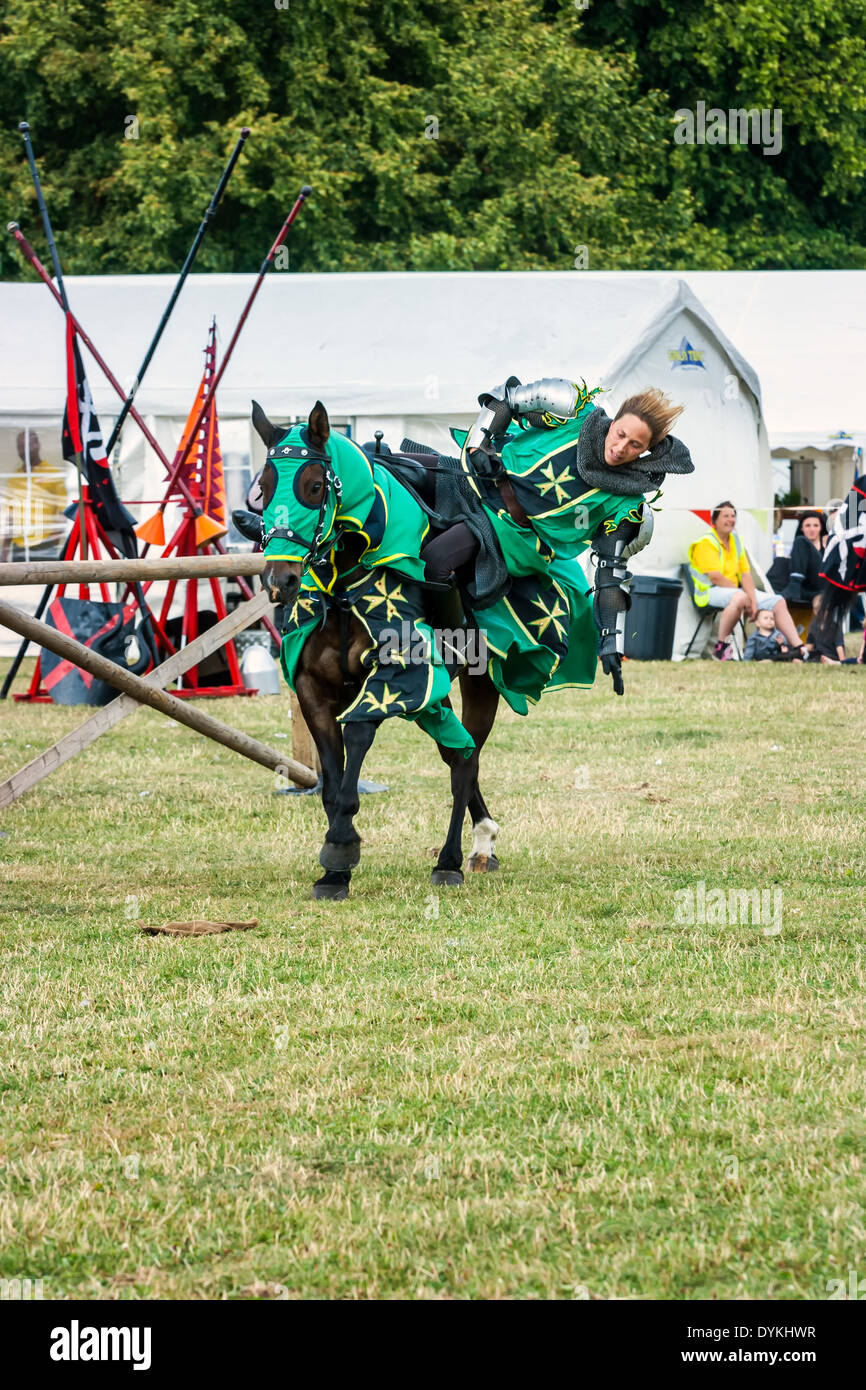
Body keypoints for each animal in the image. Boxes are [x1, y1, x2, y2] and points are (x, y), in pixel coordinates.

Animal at [247, 400, 503, 902]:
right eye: (263, 489)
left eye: (313, 486)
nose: (279, 581)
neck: (345, 592)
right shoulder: (314, 692)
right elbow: (330, 785)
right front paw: (335, 869)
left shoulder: (394, 678)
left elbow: (359, 741)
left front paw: (341, 846)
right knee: (458, 752)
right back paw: (481, 840)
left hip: (479, 681)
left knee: (465, 760)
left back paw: (452, 859)